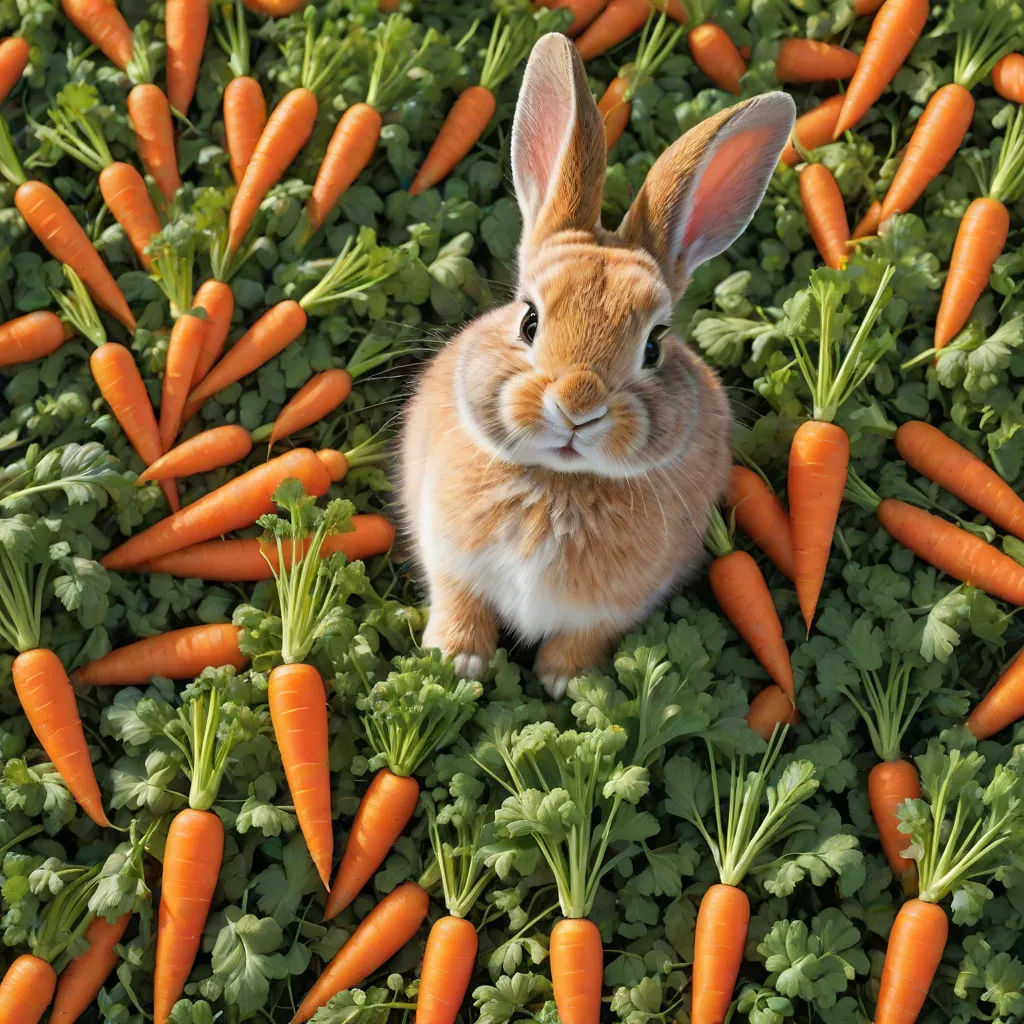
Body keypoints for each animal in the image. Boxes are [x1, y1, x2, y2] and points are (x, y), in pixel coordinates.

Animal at [399, 32, 795, 698]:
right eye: (529, 320)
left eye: (654, 344)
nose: (578, 407)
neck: (560, 483)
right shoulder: (450, 556)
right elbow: (459, 603)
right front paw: (457, 663)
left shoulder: (618, 605)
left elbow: (583, 637)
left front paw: (569, 684)